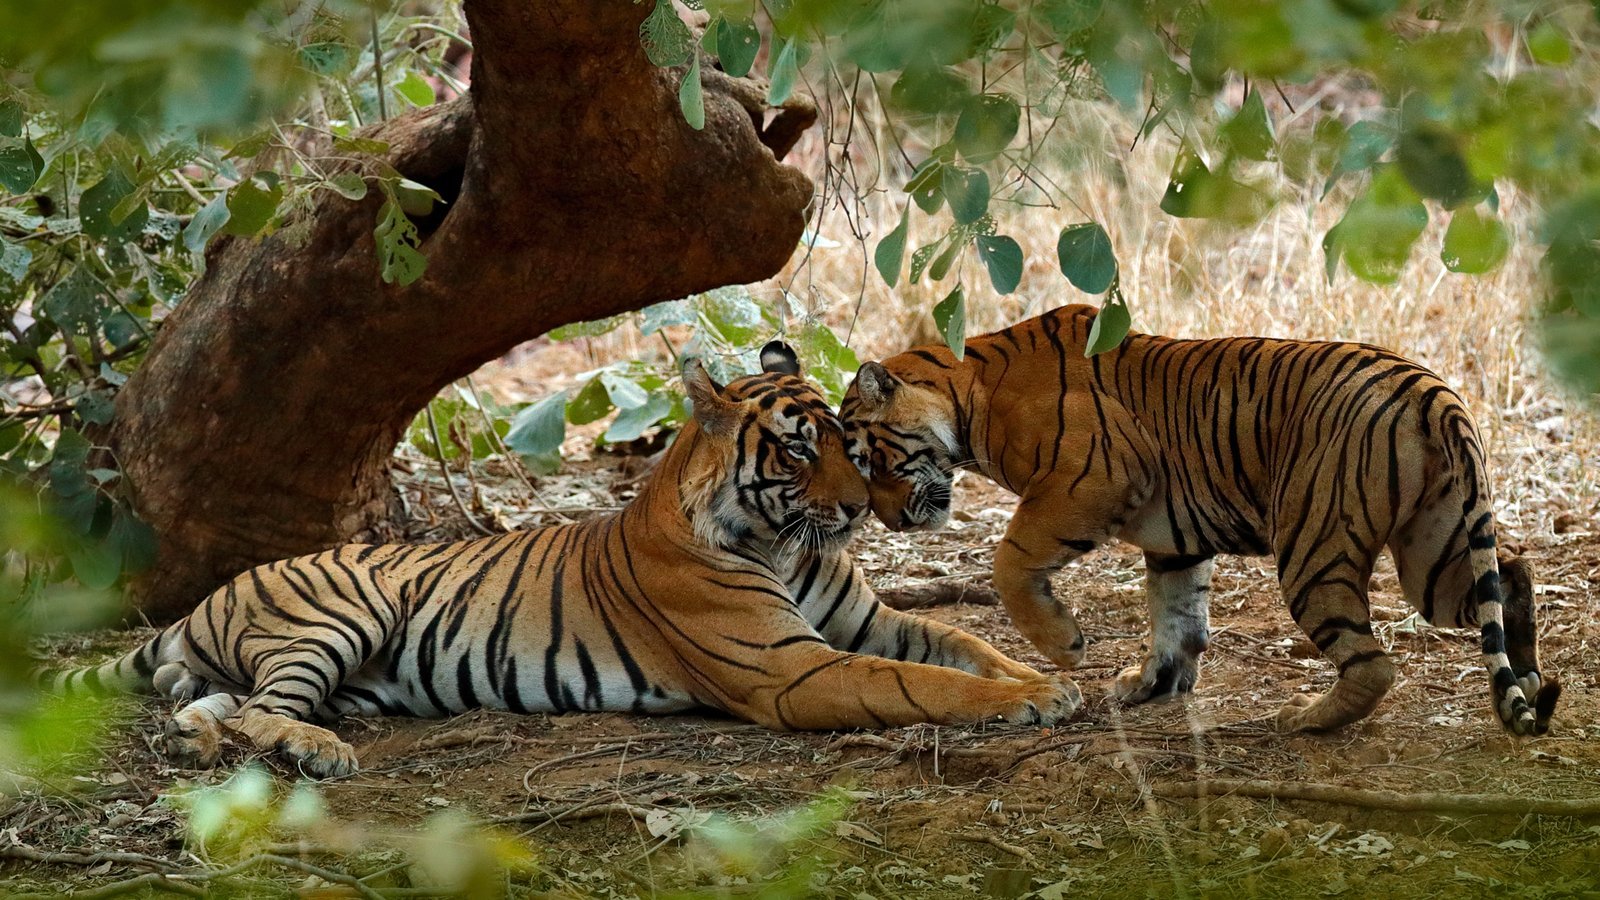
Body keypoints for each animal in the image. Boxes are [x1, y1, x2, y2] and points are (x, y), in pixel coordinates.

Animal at [47, 343, 1080, 778]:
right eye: (796, 450)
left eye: (846, 441)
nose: (862, 510)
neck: (783, 545)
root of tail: (208, 598)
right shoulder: (794, 669)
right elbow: (921, 684)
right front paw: (1030, 701)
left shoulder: (874, 620)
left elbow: (962, 644)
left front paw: (1049, 677)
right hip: (336, 615)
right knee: (269, 711)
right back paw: (317, 753)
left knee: (217, 705)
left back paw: (198, 740)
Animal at [839, 304, 1561, 735]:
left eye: (868, 458)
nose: (890, 521)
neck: (970, 392)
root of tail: (1429, 388)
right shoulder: (1175, 539)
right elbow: (1176, 616)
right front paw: (1150, 685)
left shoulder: (1090, 478)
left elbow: (1010, 561)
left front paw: (1066, 645)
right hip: (1431, 550)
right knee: (1511, 575)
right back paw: (1526, 679)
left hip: (1313, 546)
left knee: (1374, 664)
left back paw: (1305, 718)